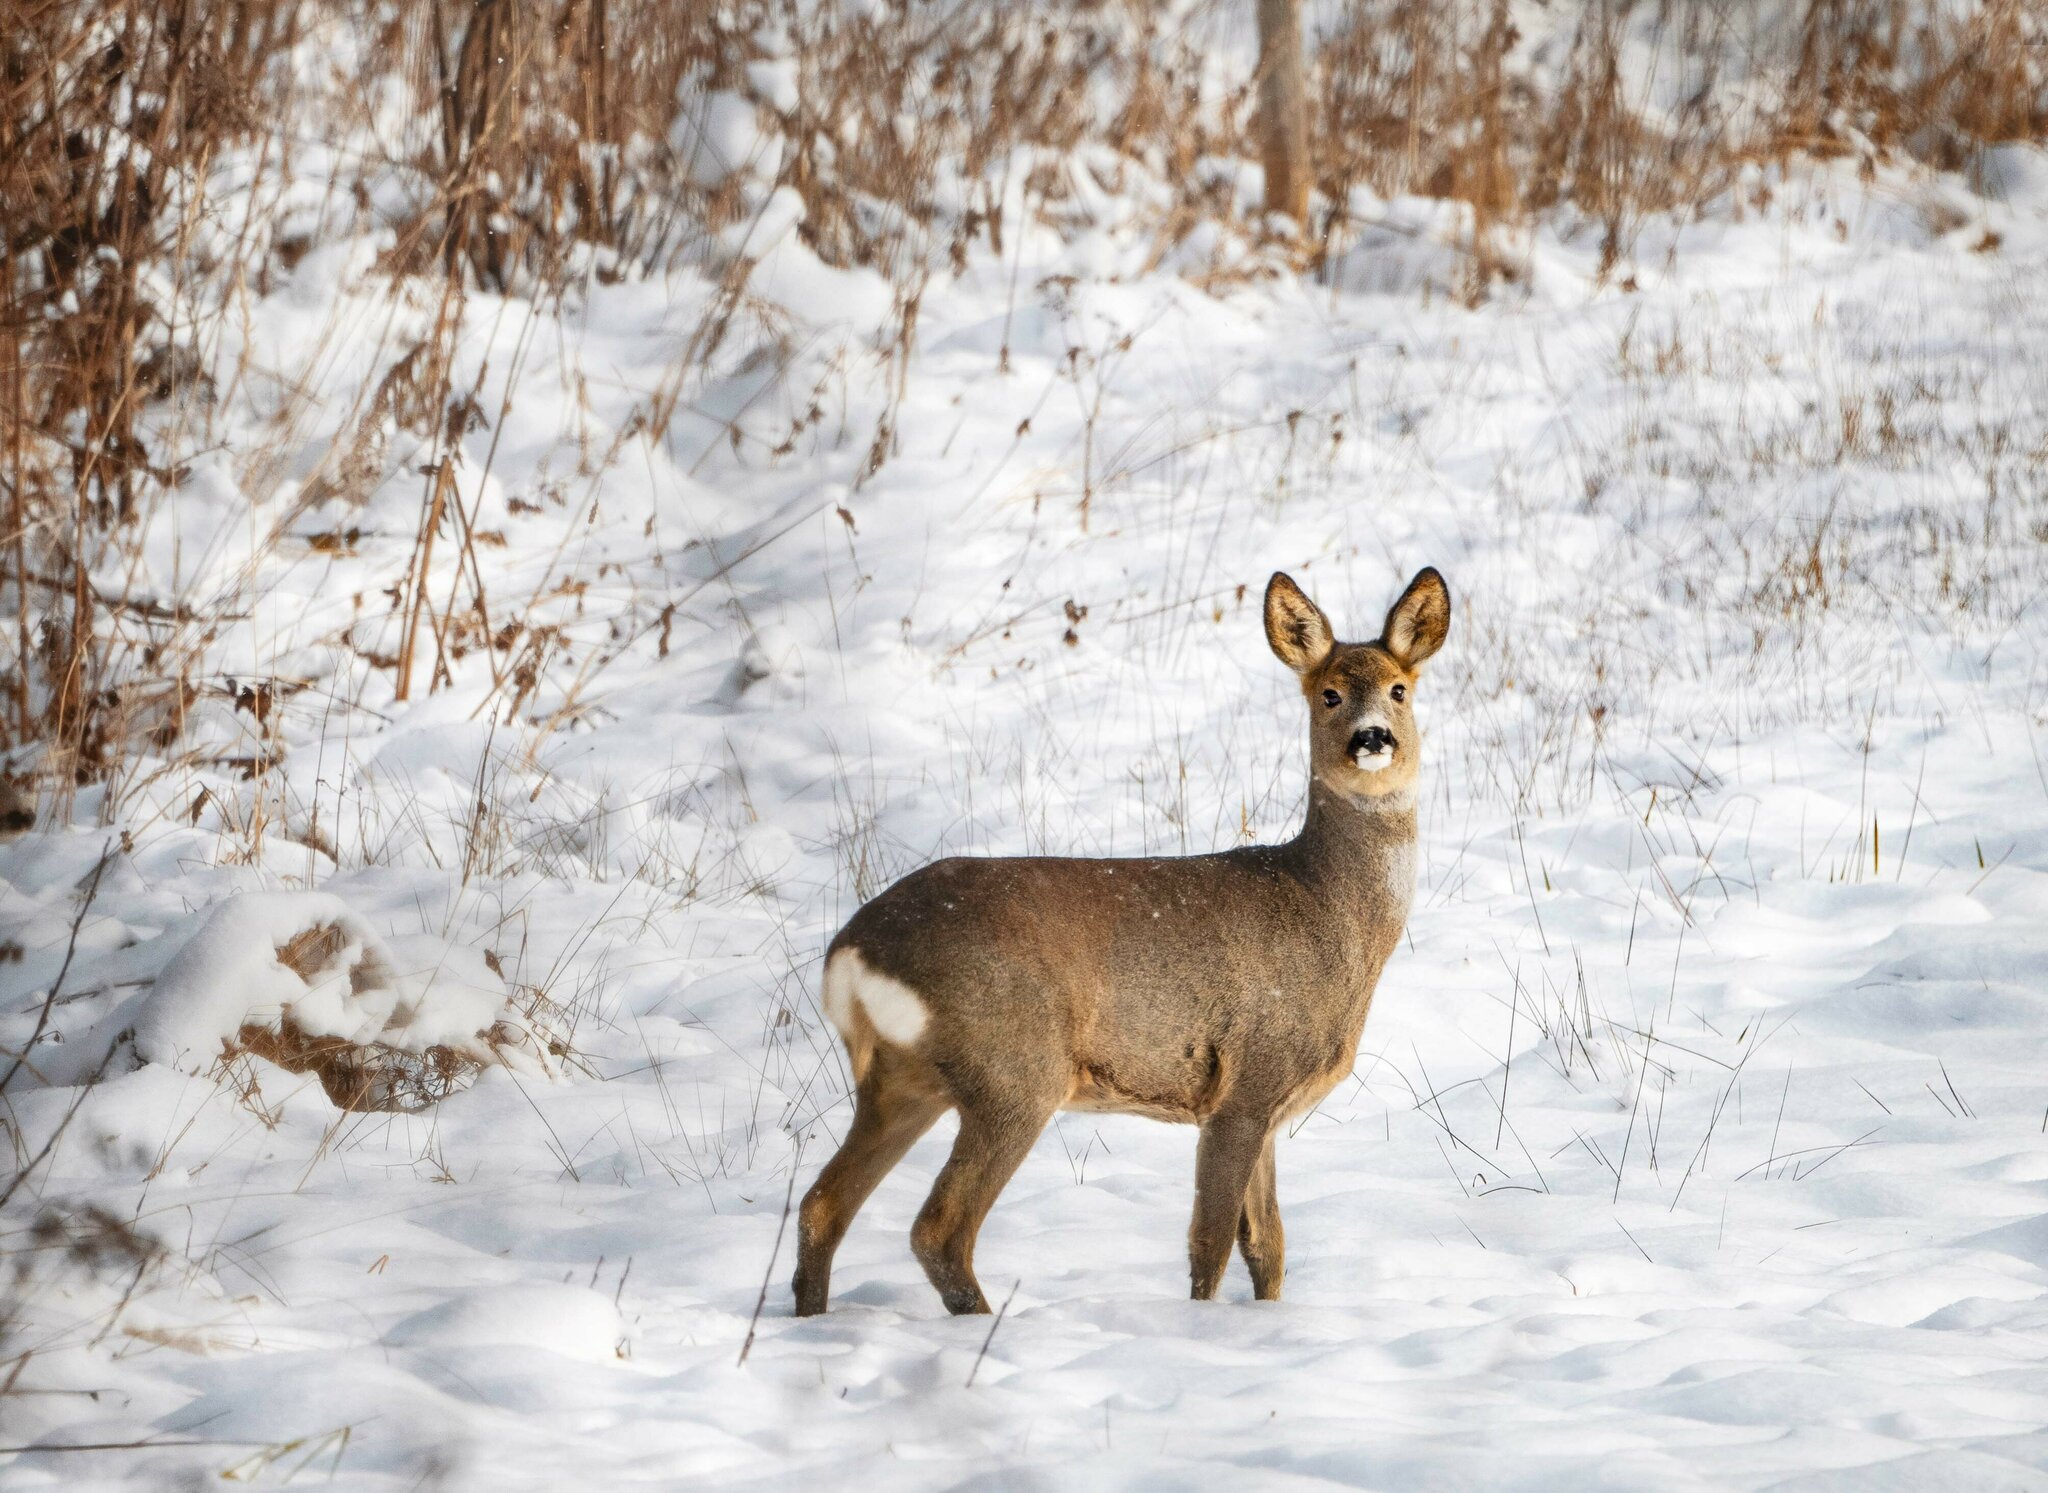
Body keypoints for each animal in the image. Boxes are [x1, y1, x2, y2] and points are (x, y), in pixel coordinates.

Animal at [792, 567, 1450, 1316]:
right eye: (1329, 693)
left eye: (1400, 689)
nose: (1372, 738)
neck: (1324, 909)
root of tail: (852, 954)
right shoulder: (1246, 1079)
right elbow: (1211, 1243)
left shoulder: (1265, 1105)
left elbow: (1268, 1248)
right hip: (1014, 1066)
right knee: (938, 1226)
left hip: (902, 1079)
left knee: (821, 1204)